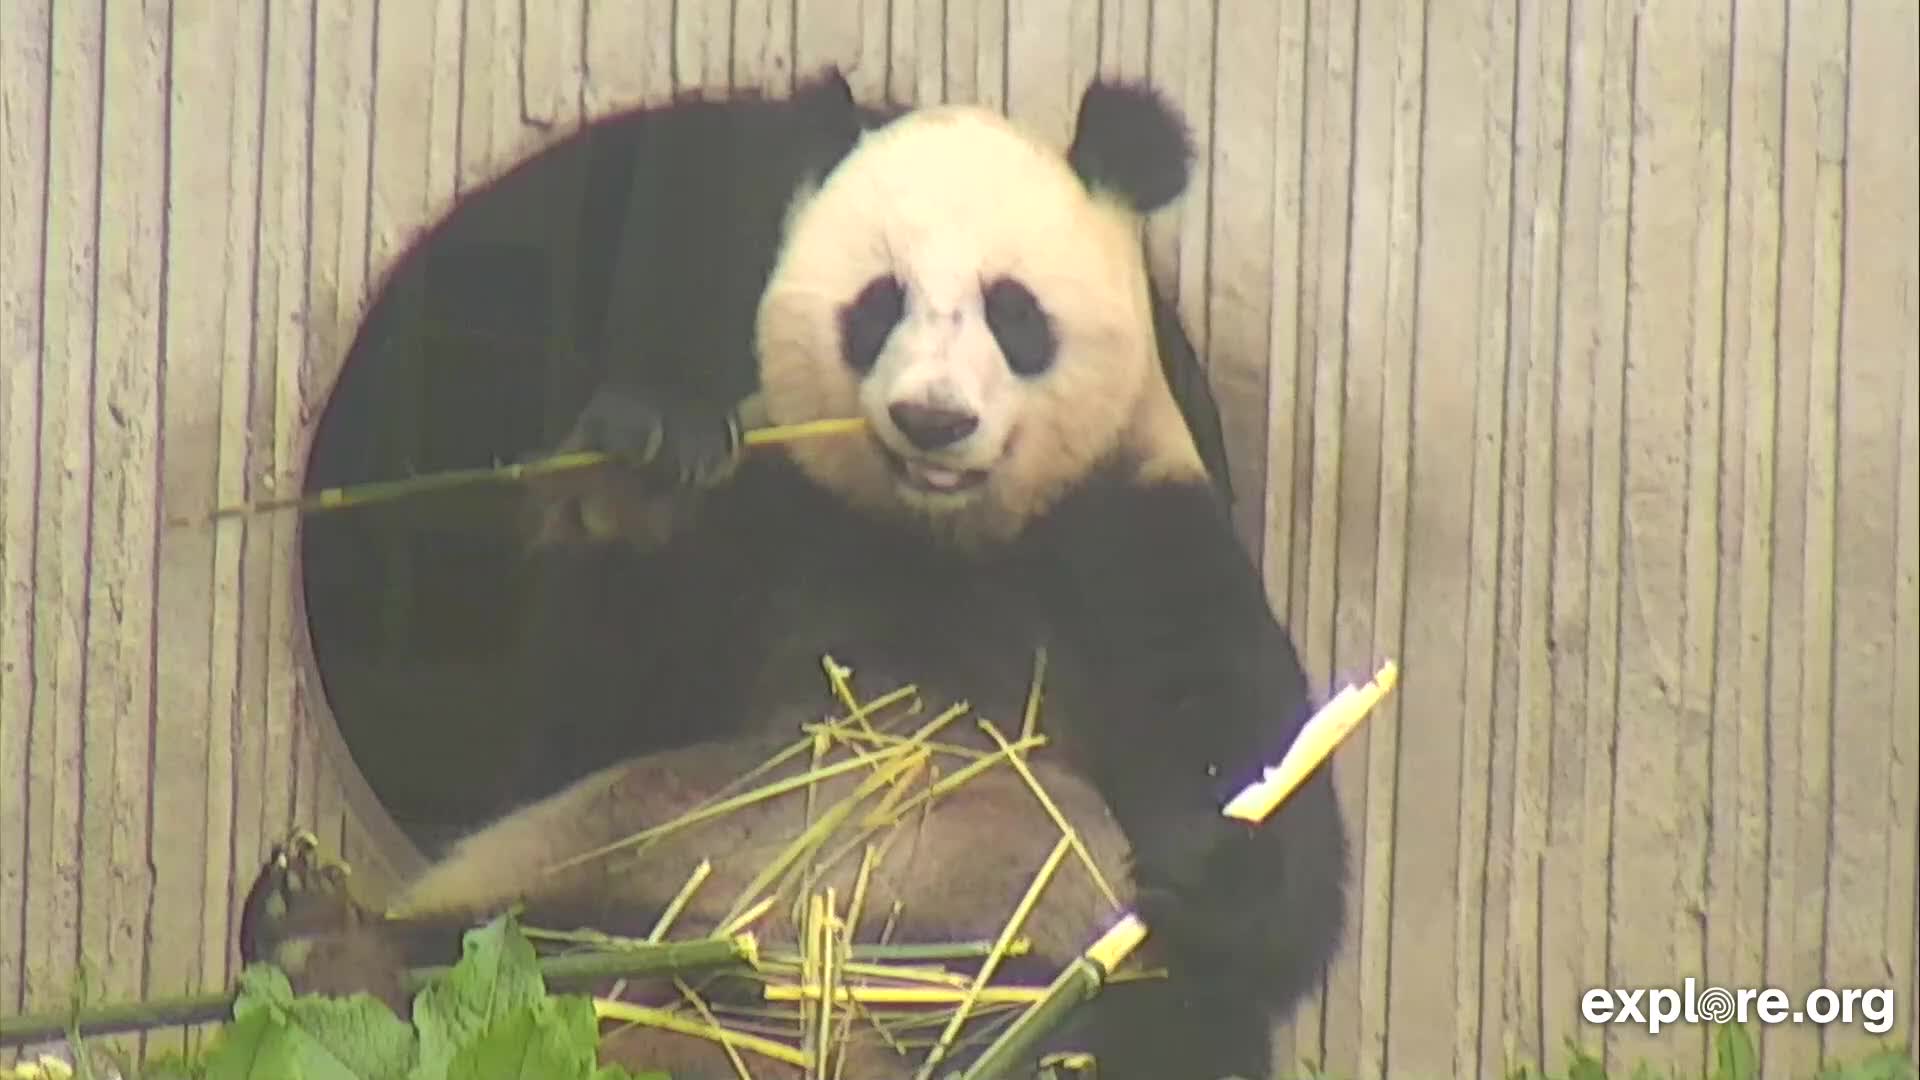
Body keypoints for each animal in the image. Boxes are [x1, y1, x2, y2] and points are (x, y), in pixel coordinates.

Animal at [244, 71, 1349, 1080]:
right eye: (879, 304)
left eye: (1012, 312)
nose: (933, 419)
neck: (933, 539)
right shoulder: (768, 512)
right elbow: (572, 732)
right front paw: (640, 469)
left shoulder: (1133, 537)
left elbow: (1255, 789)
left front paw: (1212, 861)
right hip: (613, 886)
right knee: (508, 950)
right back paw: (322, 936)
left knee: (1144, 1021)